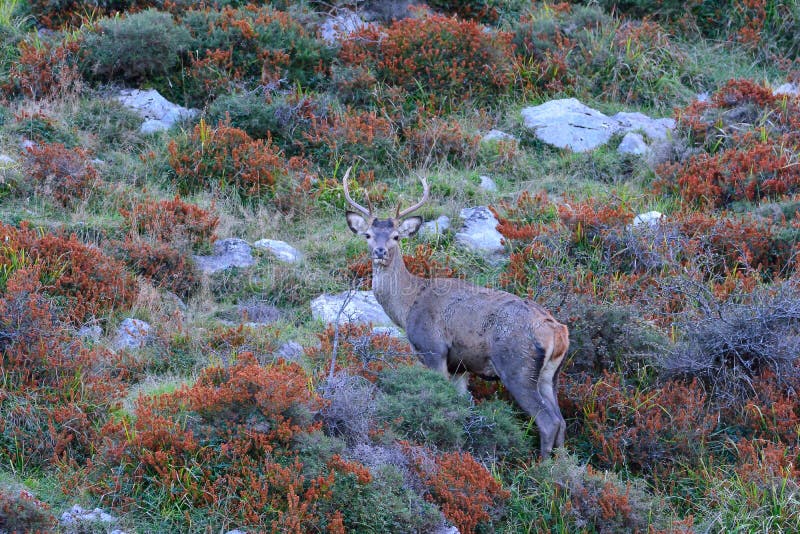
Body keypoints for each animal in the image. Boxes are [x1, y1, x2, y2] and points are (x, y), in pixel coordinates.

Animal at [342, 168, 570, 457]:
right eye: (368, 235)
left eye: (396, 236)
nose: (380, 251)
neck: (408, 306)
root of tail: (558, 332)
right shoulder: (460, 365)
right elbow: (463, 404)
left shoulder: (433, 349)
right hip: (550, 375)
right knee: (561, 421)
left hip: (517, 366)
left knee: (548, 421)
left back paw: (542, 465)